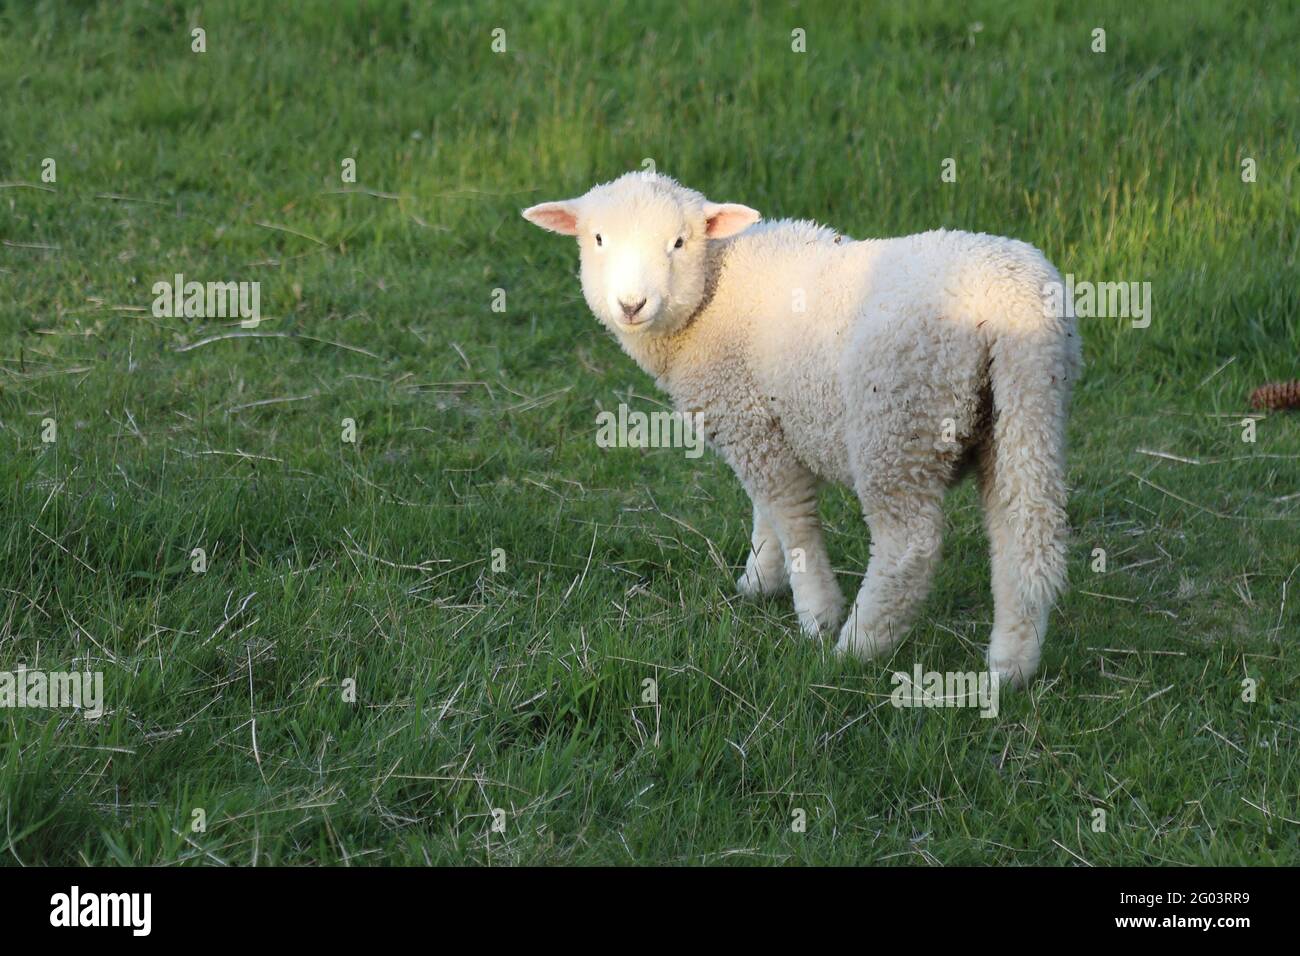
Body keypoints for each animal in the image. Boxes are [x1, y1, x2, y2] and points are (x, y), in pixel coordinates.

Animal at [523, 171, 1081, 686]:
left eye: (678, 242)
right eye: (598, 239)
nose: (632, 305)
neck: (715, 288)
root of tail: (1010, 300)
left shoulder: (747, 418)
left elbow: (788, 513)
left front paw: (814, 612)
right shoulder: (758, 421)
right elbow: (763, 509)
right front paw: (760, 580)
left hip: (898, 421)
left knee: (910, 546)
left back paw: (856, 646)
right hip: (1027, 413)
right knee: (1024, 534)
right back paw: (1011, 665)